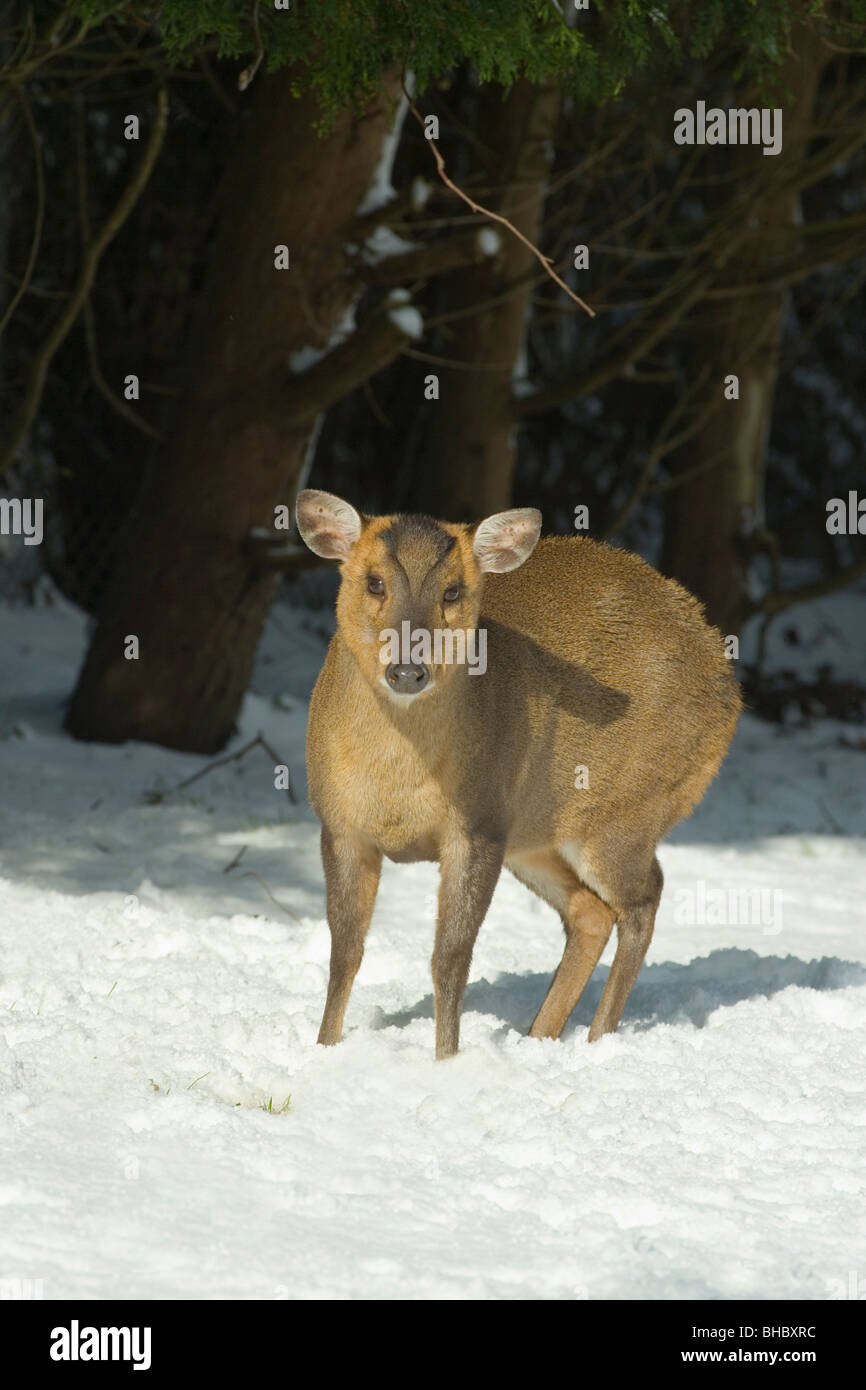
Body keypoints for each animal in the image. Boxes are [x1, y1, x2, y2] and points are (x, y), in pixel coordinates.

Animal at [296, 489, 741, 1059]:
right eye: (373, 582)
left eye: (453, 591)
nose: (407, 671)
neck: (398, 786)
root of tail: (726, 677)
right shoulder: (339, 825)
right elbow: (345, 954)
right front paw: (323, 1050)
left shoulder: (478, 826)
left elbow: (449, 960)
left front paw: (445, 1061)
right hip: (535, 833)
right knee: (591, 912)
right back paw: (538, 1037)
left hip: (627, 810)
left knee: (645, 896)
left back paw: (598, 1037)